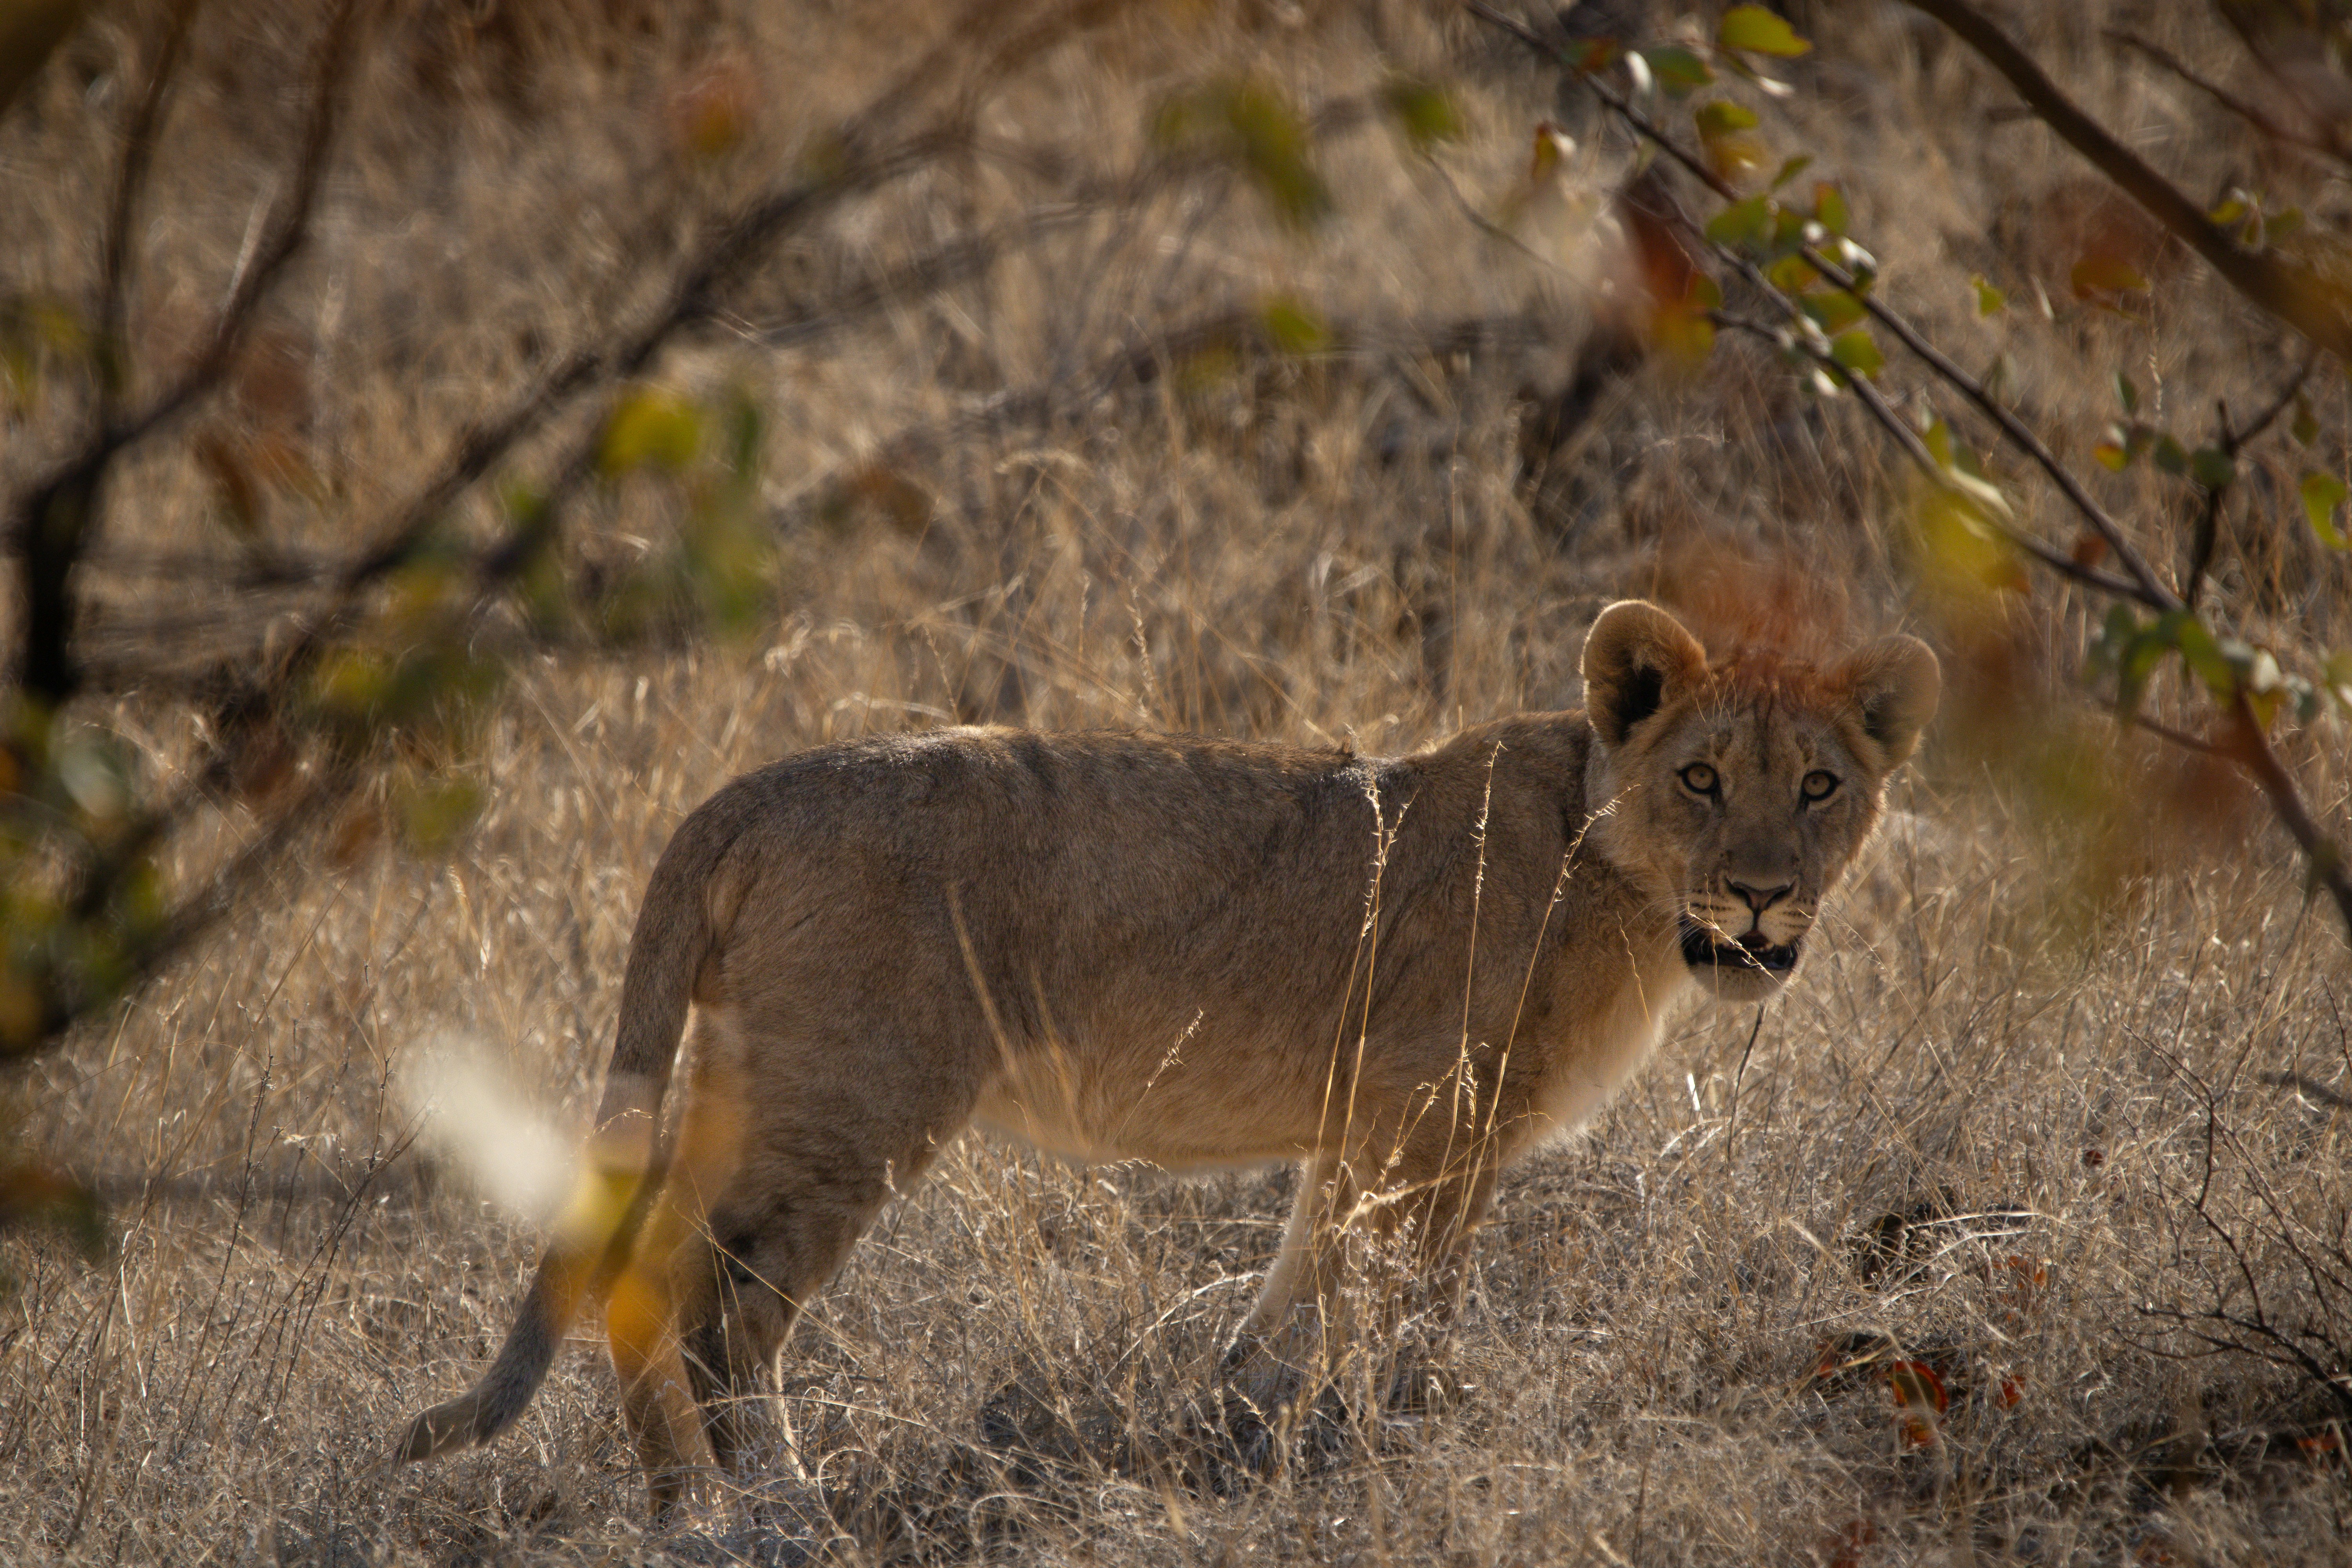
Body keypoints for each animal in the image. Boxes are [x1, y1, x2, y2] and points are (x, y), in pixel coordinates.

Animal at [398, 599, 1939, 1516]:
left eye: (1820, 786)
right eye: (1700, 778)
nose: (1760, 894)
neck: (1604, 861)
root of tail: (752, 790)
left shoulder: (1365, 1125)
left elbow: (1295, 1293)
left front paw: (1240, 1440)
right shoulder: (1431, 1117)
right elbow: (1398, 1299)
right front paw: (1401, 1440)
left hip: (750, 1075)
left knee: (643, 1258)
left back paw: (680, 1506)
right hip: (857, 1096)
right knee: (712, 1292)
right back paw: (765, 1514)